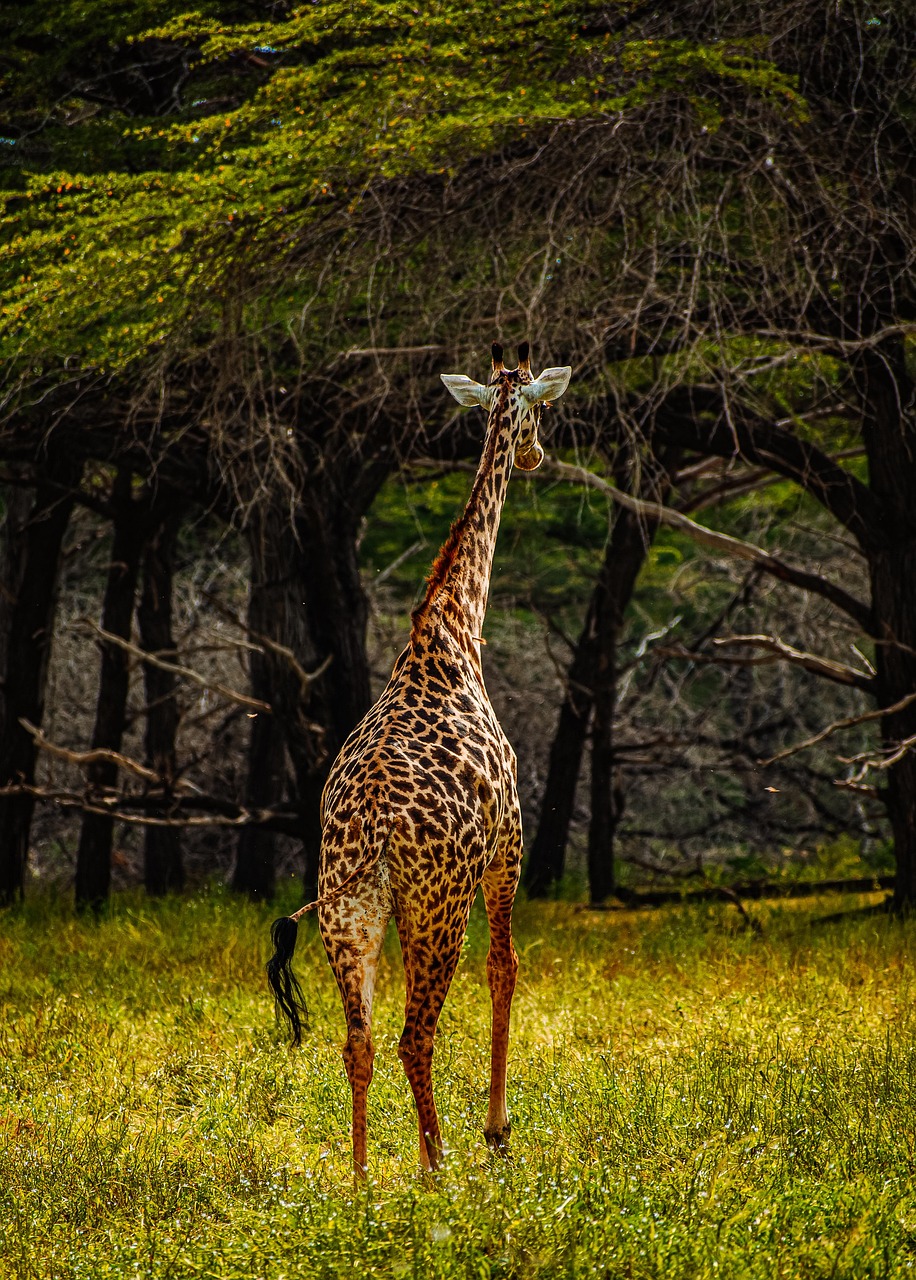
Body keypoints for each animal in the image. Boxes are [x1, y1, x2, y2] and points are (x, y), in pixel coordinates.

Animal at [267, 342, 572, 1176]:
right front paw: (499, 1132)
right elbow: (507, 969)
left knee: (358, 1041)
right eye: (540, 410)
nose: (537, 455)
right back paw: (438, 1173)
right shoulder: (511, 842)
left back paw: (364, 1179)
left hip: (350, 916)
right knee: (414, 1035)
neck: (453, 625)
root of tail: (372, 839)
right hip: (437, 909)